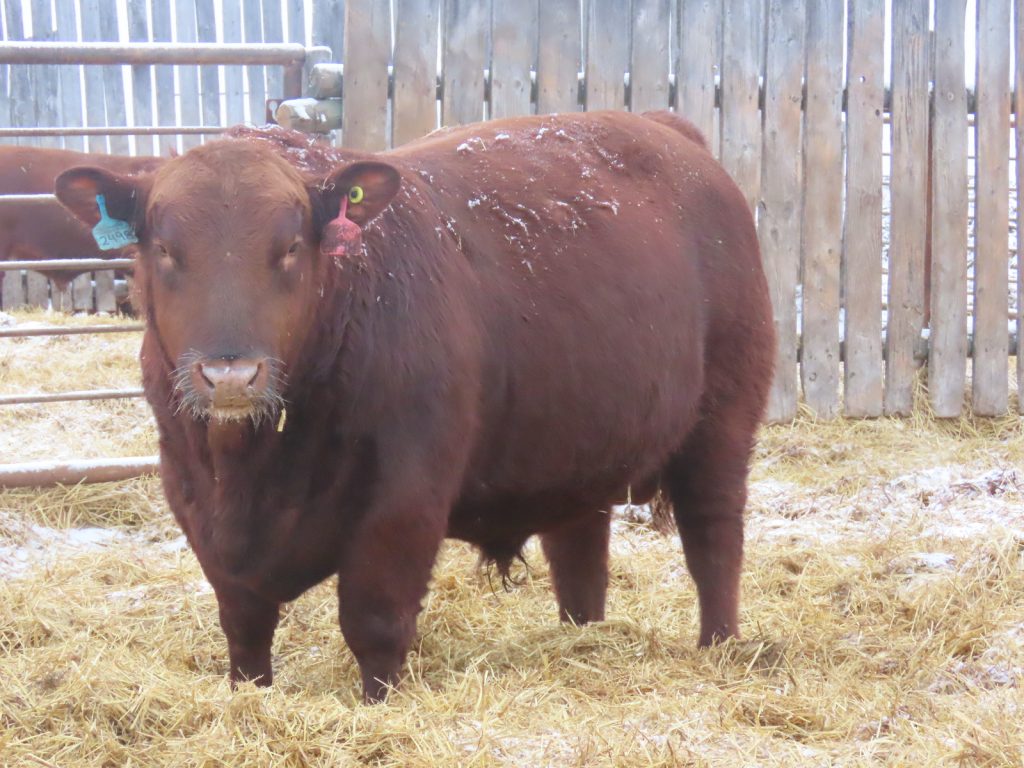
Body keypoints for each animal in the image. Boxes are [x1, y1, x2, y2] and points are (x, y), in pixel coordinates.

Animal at [54, 111, 775, 702]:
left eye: (289, 248)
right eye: (165, 249)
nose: (229, 373)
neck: (250, 468)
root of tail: (668, 130)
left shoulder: (402, 500)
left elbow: (374, 620)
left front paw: (379, 705)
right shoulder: (195, 501)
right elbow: (244, 625)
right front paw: (249, 698)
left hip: (722, 425)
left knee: (714, 540)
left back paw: (719, 646)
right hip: (579, 448)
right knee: (580, 556)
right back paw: (582, 638)